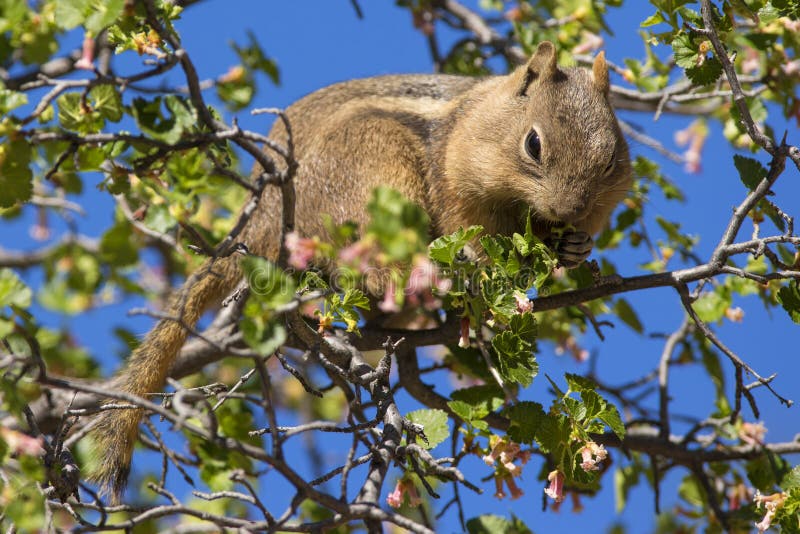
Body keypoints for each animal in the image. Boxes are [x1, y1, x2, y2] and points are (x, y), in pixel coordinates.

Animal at [88, 41, 632, 501]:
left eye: (611, 162)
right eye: (534, 144)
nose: (568, 209)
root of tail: (265, 215)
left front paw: (575, 246)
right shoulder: (457, 183)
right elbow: (468, 229)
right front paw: (480, 260)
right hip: (373, 168)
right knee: (377, 268)